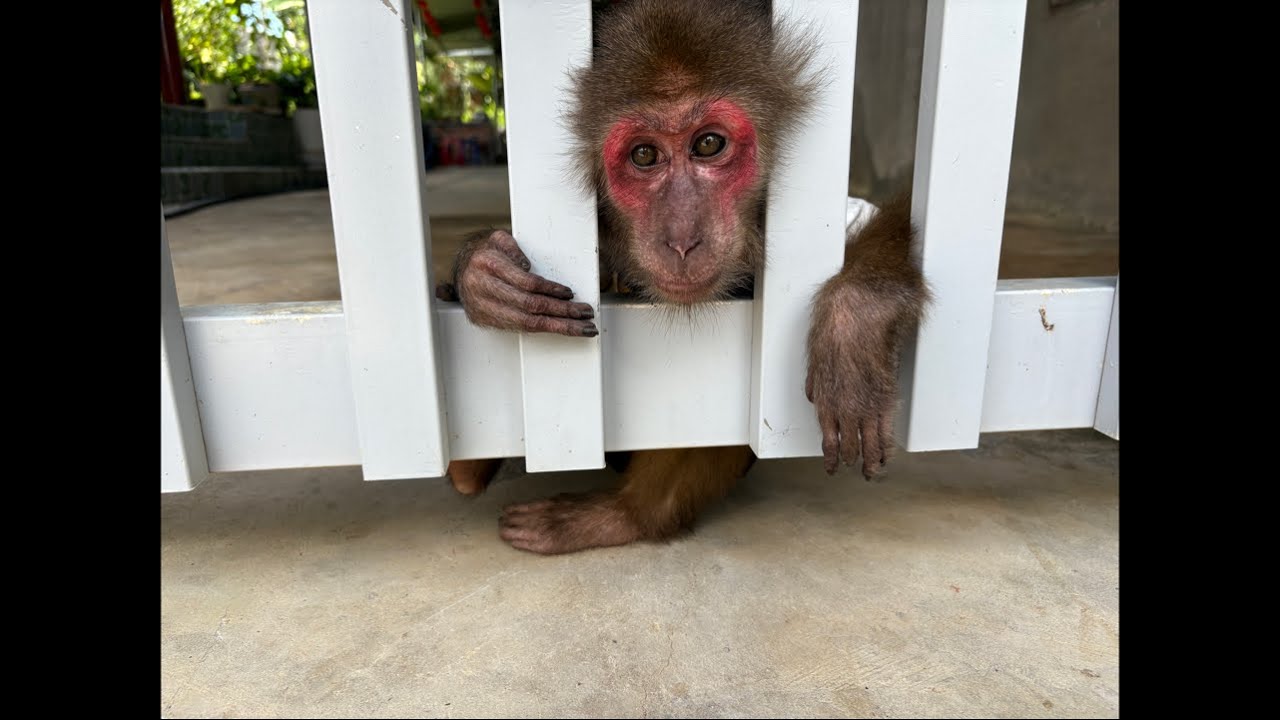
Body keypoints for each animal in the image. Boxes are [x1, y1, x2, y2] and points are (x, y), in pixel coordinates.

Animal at [433, 0, 928, 555]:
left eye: (708, 144)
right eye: (644, 155)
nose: (682, 239)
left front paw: (856, 316)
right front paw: (482, 273)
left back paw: (630, 516)